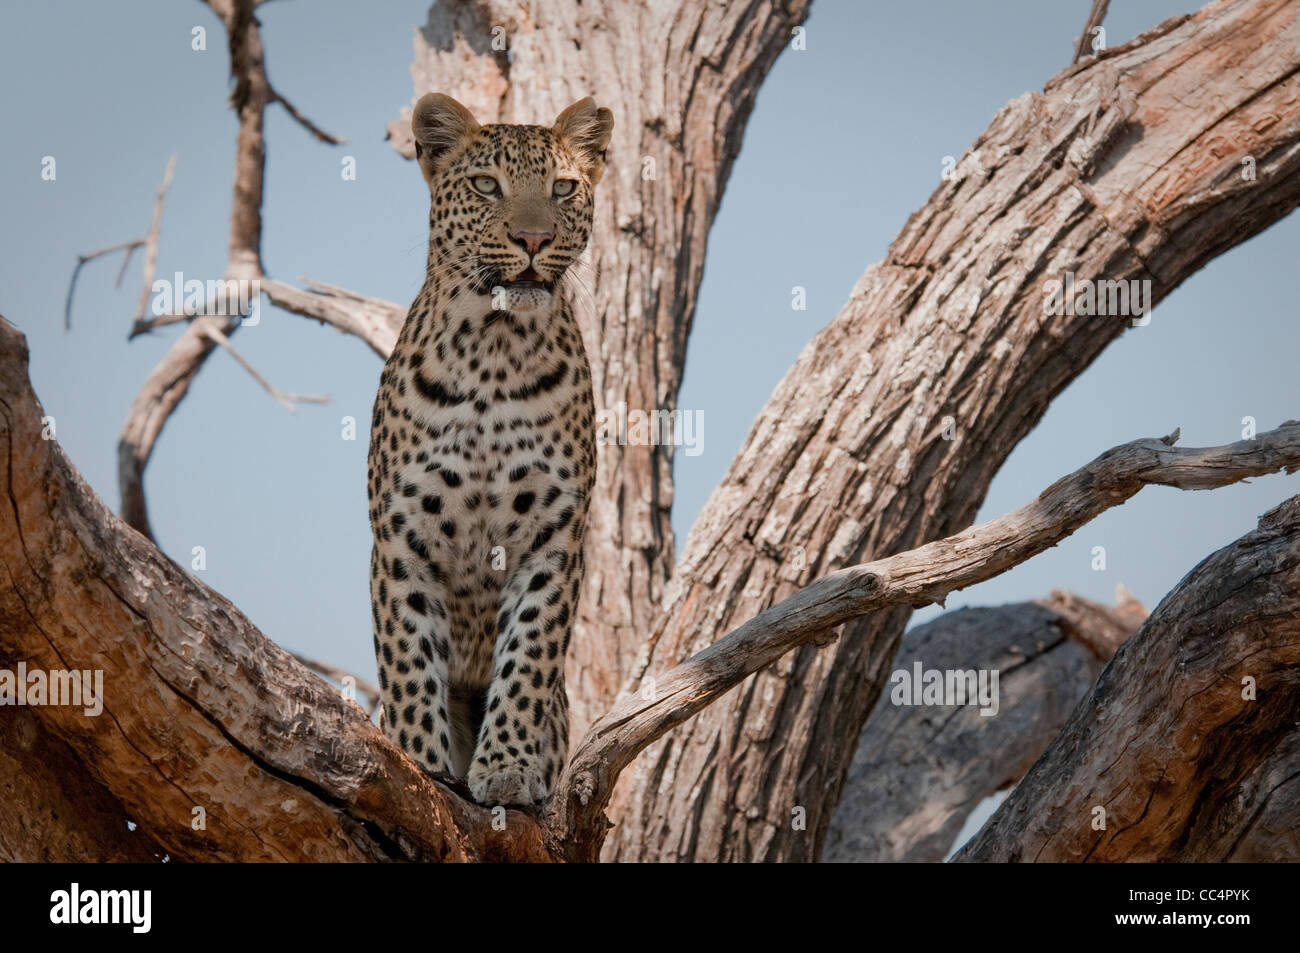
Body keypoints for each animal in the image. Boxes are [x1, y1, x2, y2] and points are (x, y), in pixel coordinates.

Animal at [367, 92, 611, 807]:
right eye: (484, 186)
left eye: (563, 188)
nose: (533, 241)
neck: (493, 353)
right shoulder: (402, 539)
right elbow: (409, 658)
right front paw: (420, 762)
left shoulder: (552, 539)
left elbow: (529, 653)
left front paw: (507, 766)